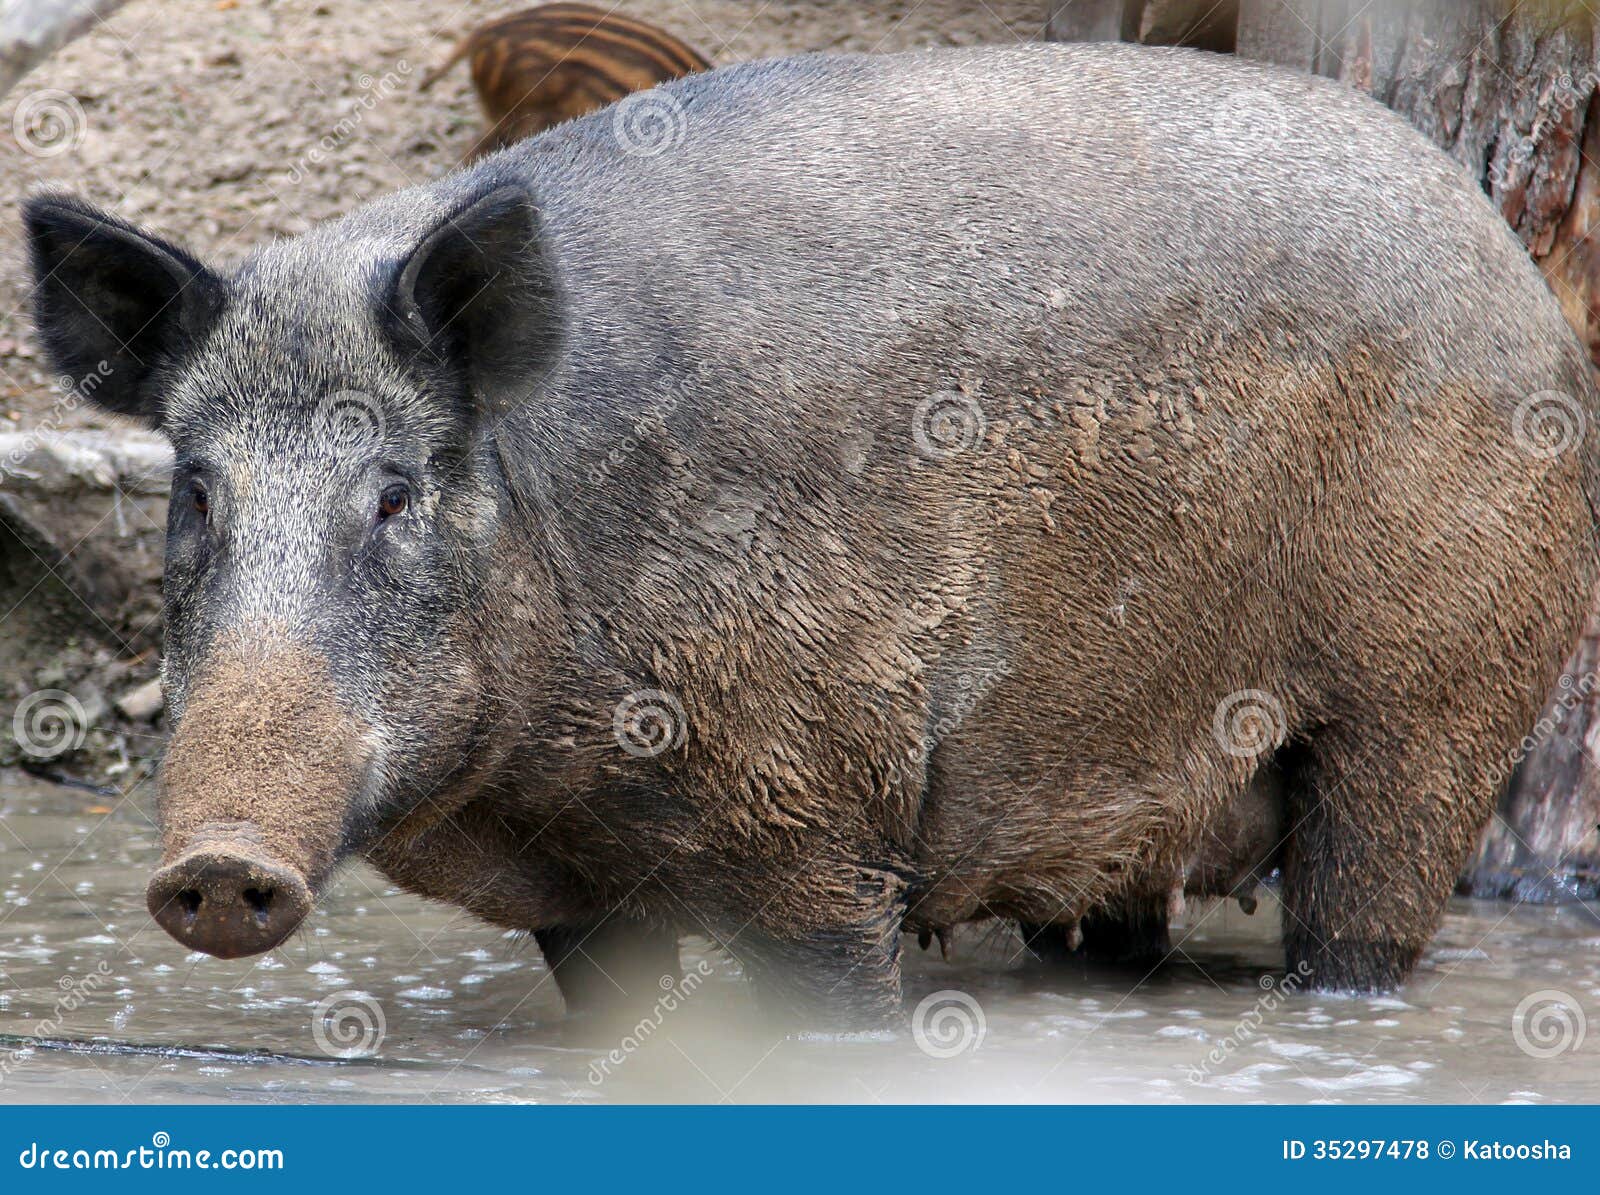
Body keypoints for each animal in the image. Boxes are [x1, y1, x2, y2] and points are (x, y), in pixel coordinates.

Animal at [24, 43, 1599, 1024]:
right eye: (195, 487)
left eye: (399, 490)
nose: (217, 865)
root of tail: (1499, 250)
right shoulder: (587, 898)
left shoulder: (824, 814)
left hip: (1436, 699)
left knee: (1366, 901)